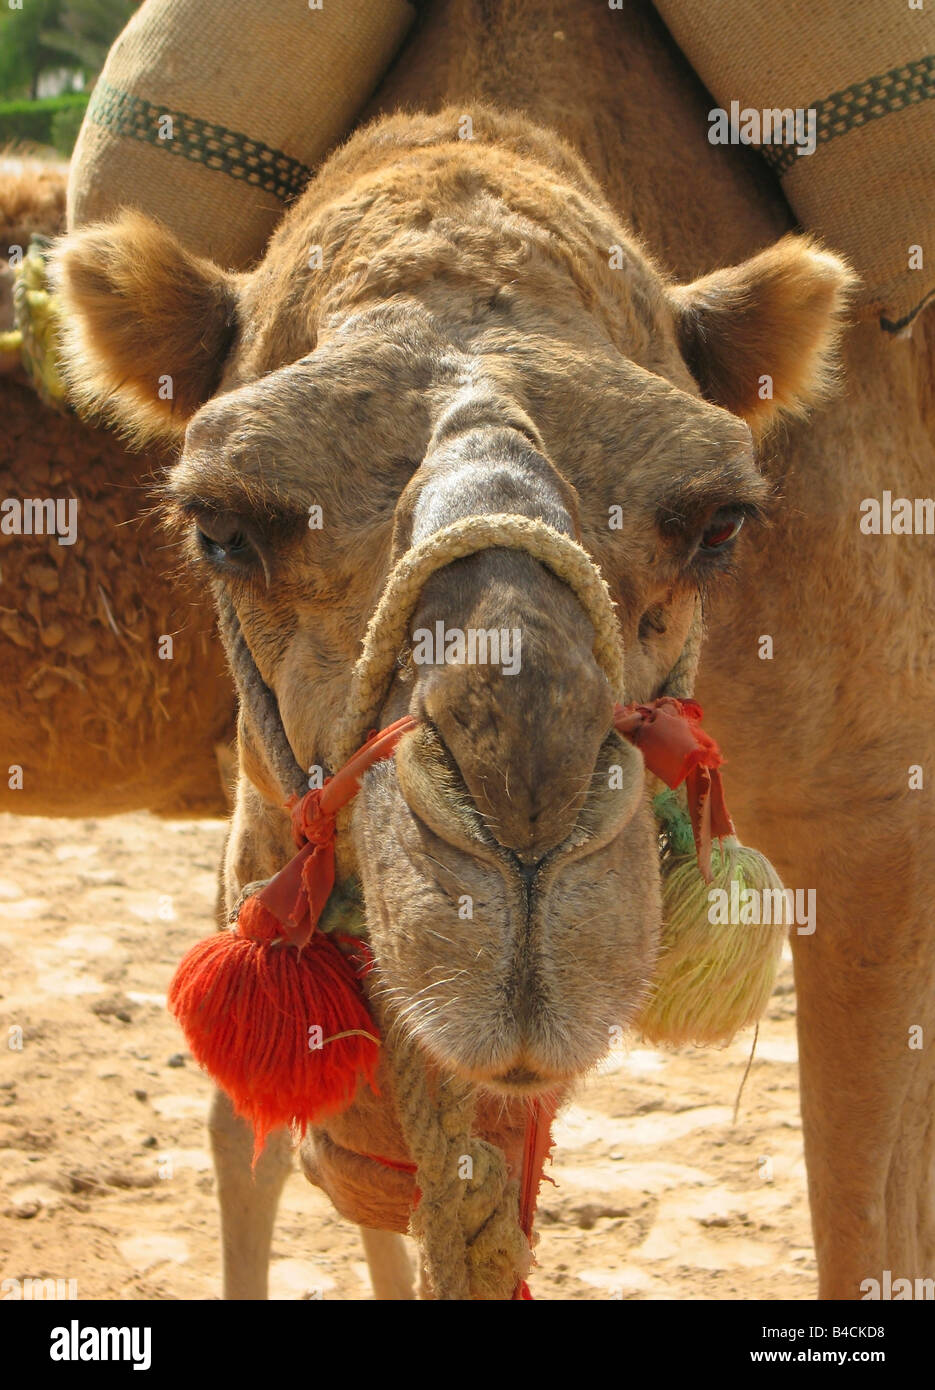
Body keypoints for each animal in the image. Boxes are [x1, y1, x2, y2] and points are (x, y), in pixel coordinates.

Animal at [11, 0, 935, 1298]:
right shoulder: (271, 809)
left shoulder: (877, 816)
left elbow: (865, 1218)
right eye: (221, 526)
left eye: (714, 522)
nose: (523, 807)